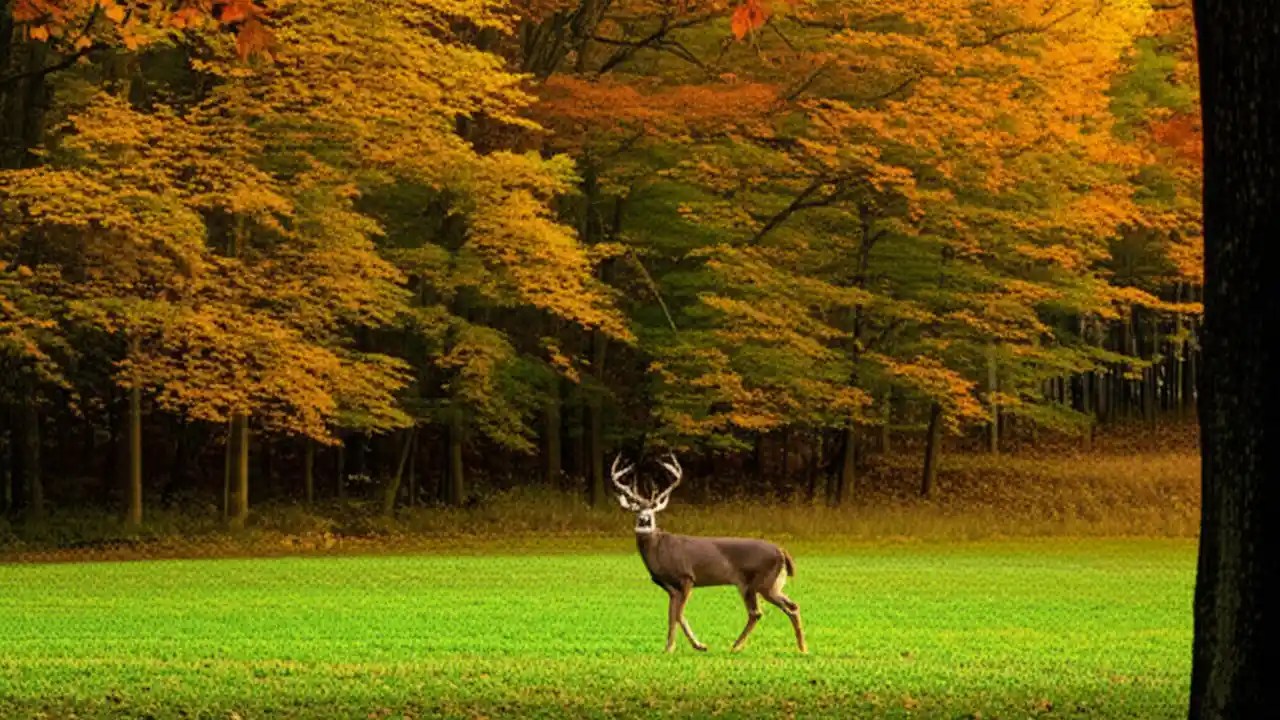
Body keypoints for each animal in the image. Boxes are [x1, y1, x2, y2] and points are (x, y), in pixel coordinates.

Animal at [611, 453, 807, 654]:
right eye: (636, 509)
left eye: (654, 509)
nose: (645, 520)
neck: (658, 550)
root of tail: (782, 551)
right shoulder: (670, 587)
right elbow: (672, 615)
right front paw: (669, 647)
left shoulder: (687, 577)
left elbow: (678, 614)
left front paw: (698, 645)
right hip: (761, 584)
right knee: (776, 608)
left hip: (763, 582)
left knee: (773, 610)